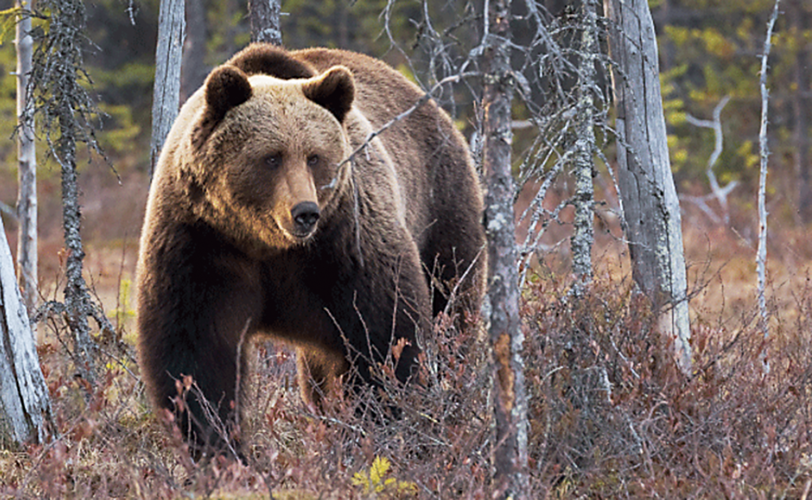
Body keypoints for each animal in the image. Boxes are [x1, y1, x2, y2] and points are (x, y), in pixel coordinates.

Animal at [136, 43, 485, 456]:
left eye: (314, 156)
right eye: (271, 157)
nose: (305, 212)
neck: (266, 244)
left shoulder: (345, 243)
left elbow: (385, 335)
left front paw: (379, 426)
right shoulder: (201, 242)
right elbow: (195, 351)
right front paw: (218, 447)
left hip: (441, 210)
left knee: (451, 310)